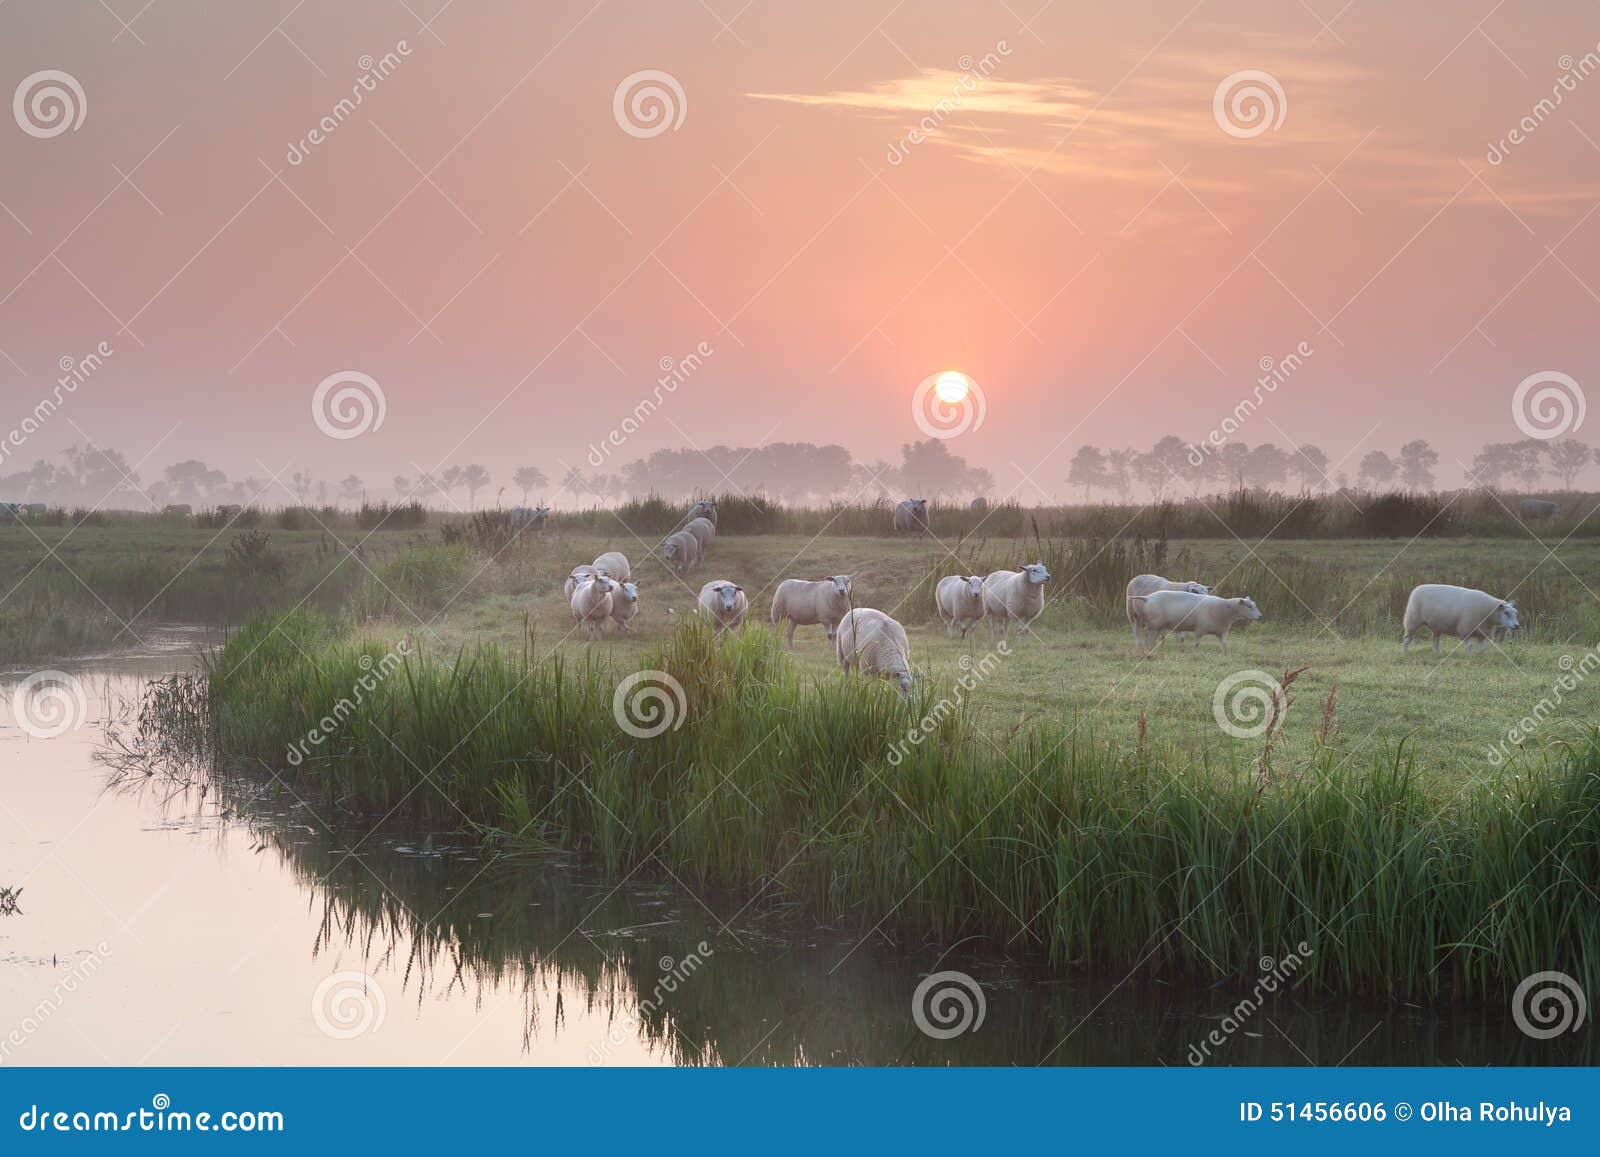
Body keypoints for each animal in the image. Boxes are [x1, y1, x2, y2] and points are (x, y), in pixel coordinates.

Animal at [1132, 591, 1261, 651]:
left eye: (1254, 604)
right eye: (1249, 606)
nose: (1260, 616)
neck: (1224, 610)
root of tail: (1148, 597)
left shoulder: (1221, 631)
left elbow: (1224, 643)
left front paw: (1225, 653)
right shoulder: (1200, 629)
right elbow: (1196, 643)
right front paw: (1194, 652)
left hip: (1159, 625)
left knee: (1153, 635)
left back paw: (1152, 647)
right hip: (1153, 623)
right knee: (1147, 634)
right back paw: (1148, 647)